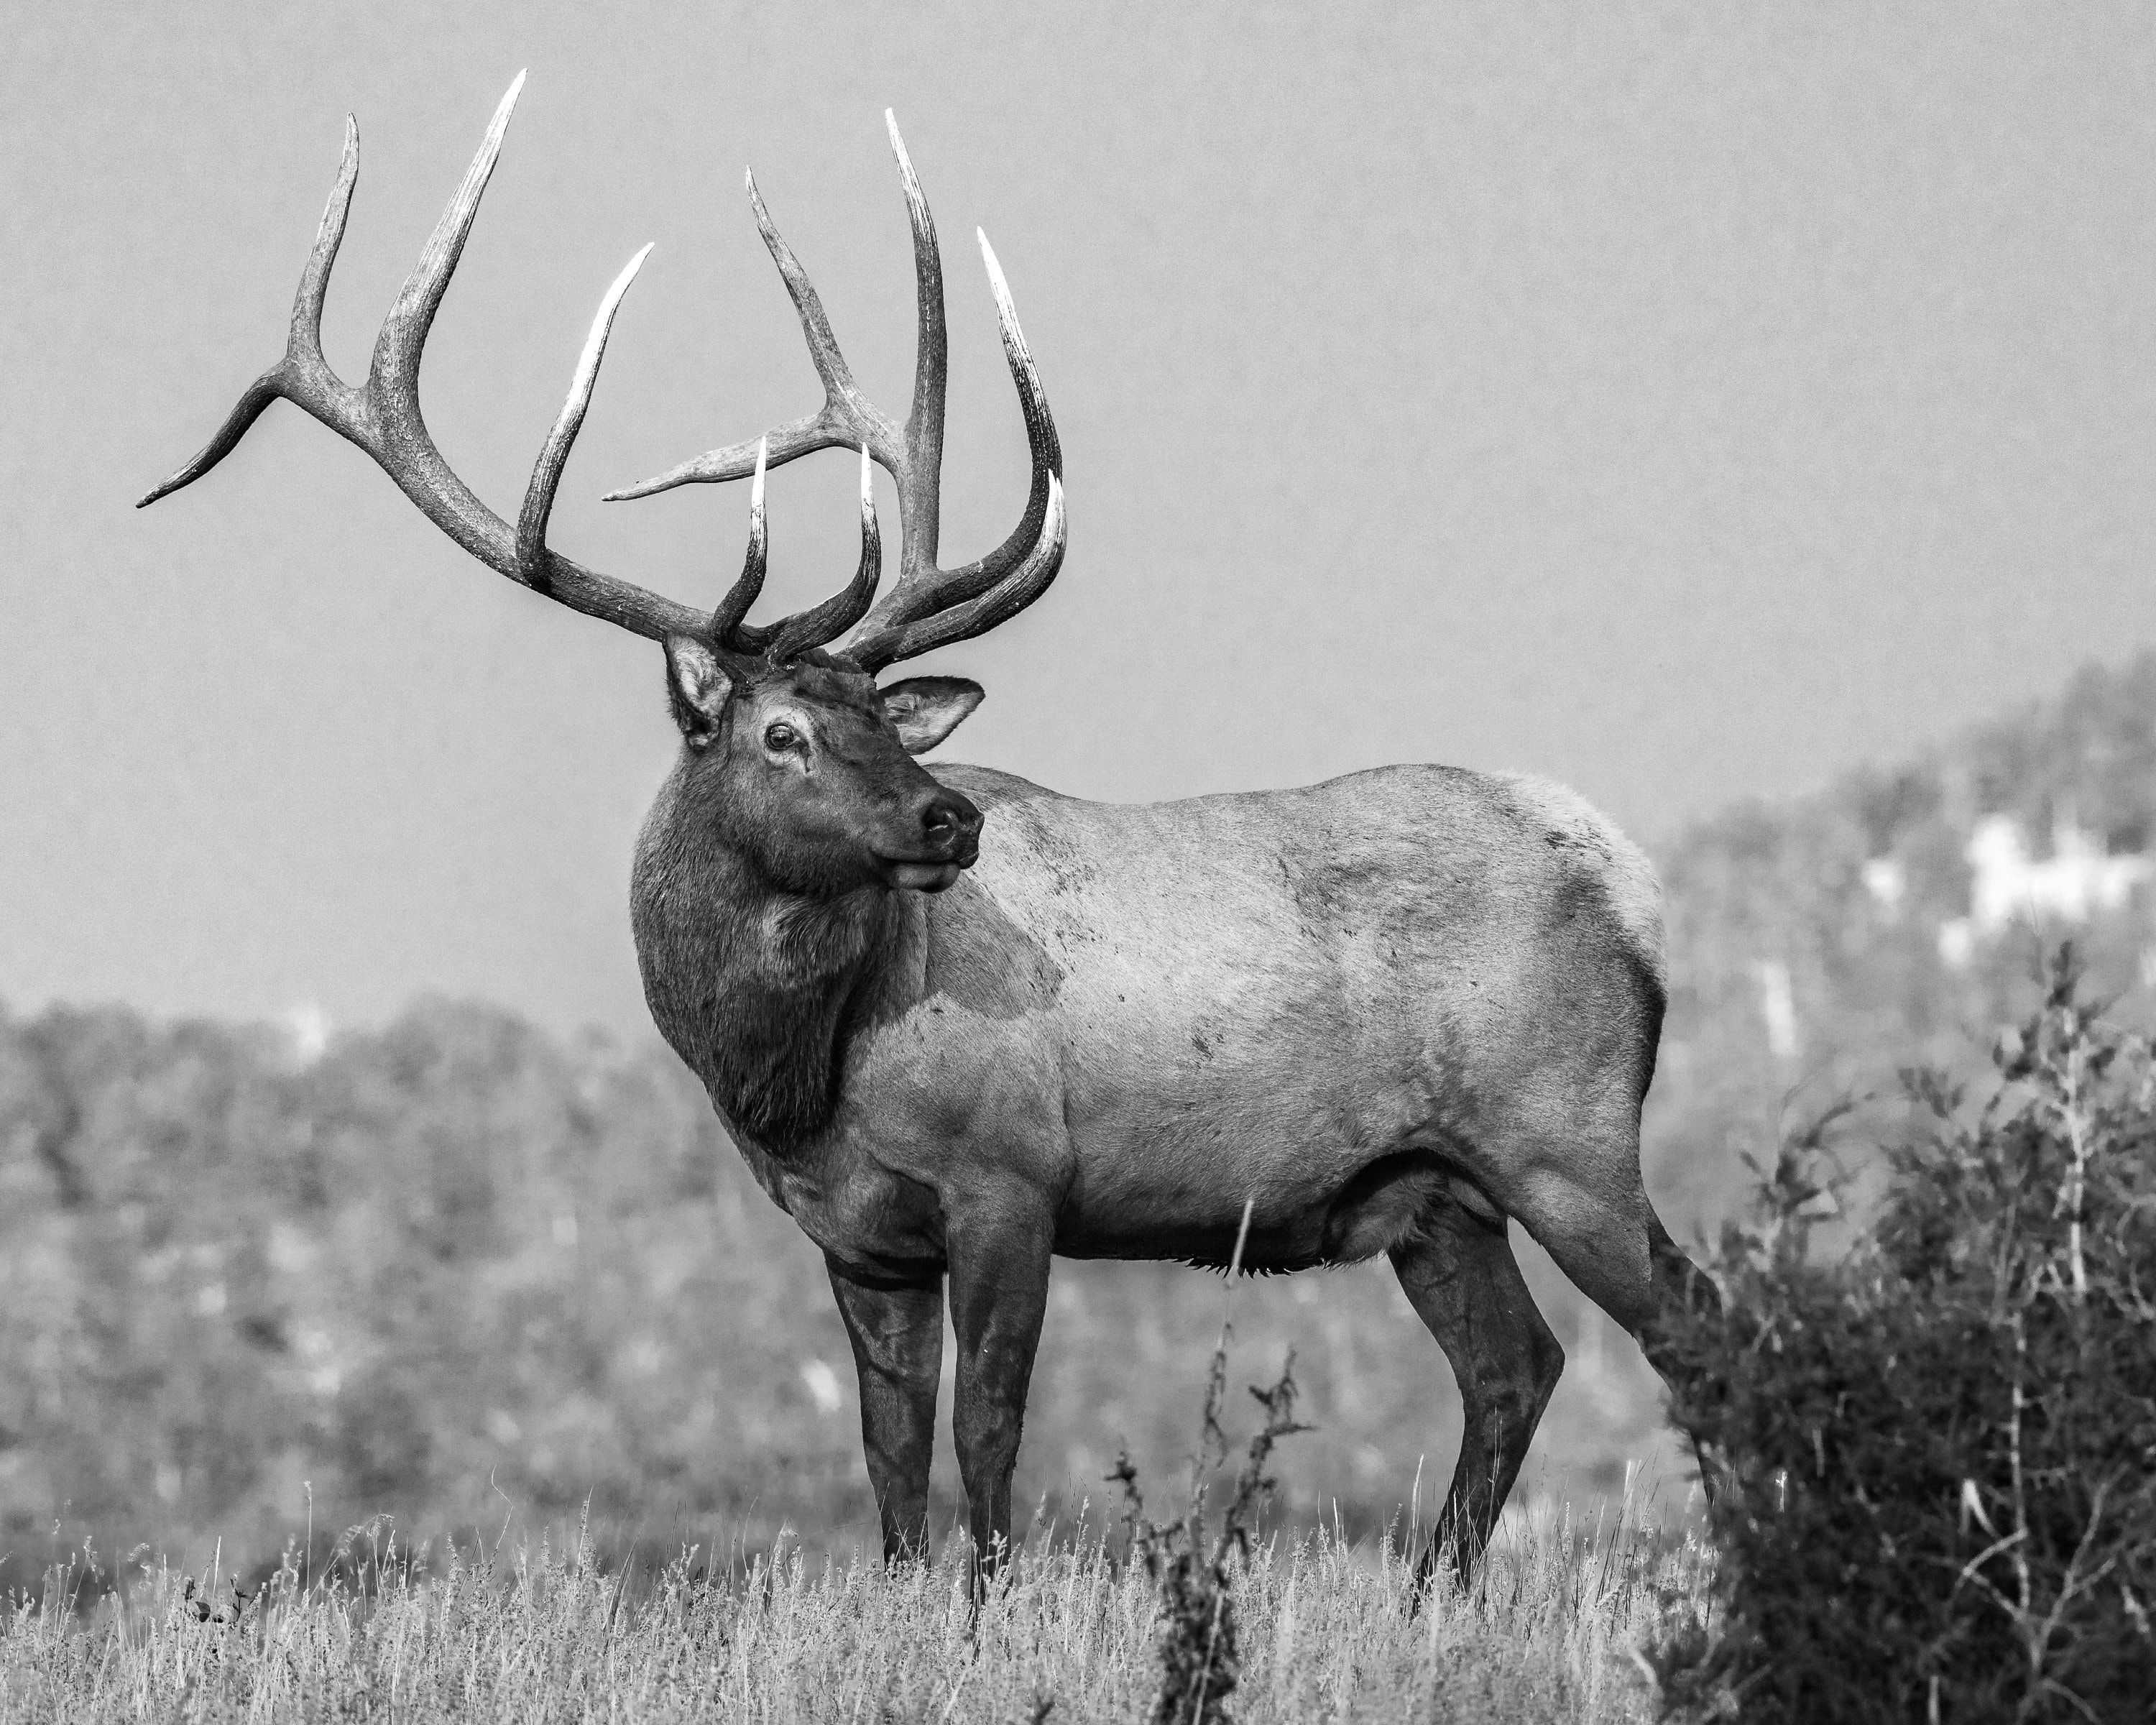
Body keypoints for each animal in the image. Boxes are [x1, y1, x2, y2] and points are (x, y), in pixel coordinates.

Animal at [140, 76, 1717, 1587]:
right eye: (783, 732)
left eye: (889, 721)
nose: (945, 816)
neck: (795, 1079)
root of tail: (1631, 881)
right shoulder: (857, 1237)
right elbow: (889, 1457)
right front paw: (908, 1610)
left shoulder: (1011, 1180)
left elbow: (990, 1433)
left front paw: (985, 1609)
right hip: (1430, 1191)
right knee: (1519, 1367)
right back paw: (1437, 1592)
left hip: (1564, 1132)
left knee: (1698, 1323)